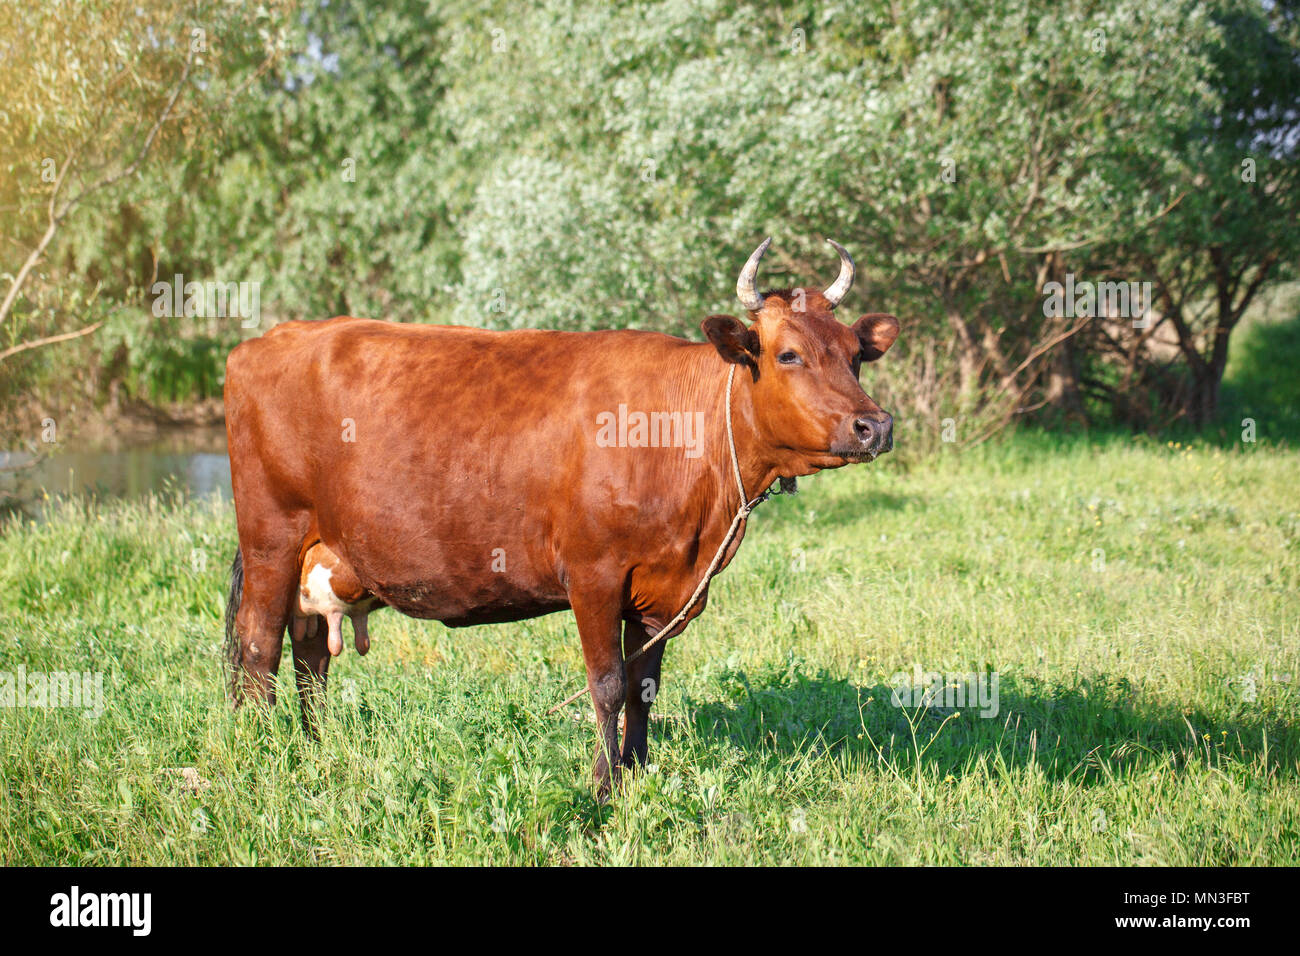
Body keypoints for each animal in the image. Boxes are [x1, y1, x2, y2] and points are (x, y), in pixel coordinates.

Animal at [226, 240, 894, 801]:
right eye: (788, 354)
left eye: (855, 356)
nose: (876, 426)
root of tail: (269, 338)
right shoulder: (594, 575)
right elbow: (608, 683)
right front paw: (602, 789)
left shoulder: (664, 589)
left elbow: (644, 685)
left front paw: (638, 772)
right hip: (272, 538)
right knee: (259, 648)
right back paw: (262, 756)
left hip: (324, 554)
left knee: (310, 654)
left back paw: (316, 747)